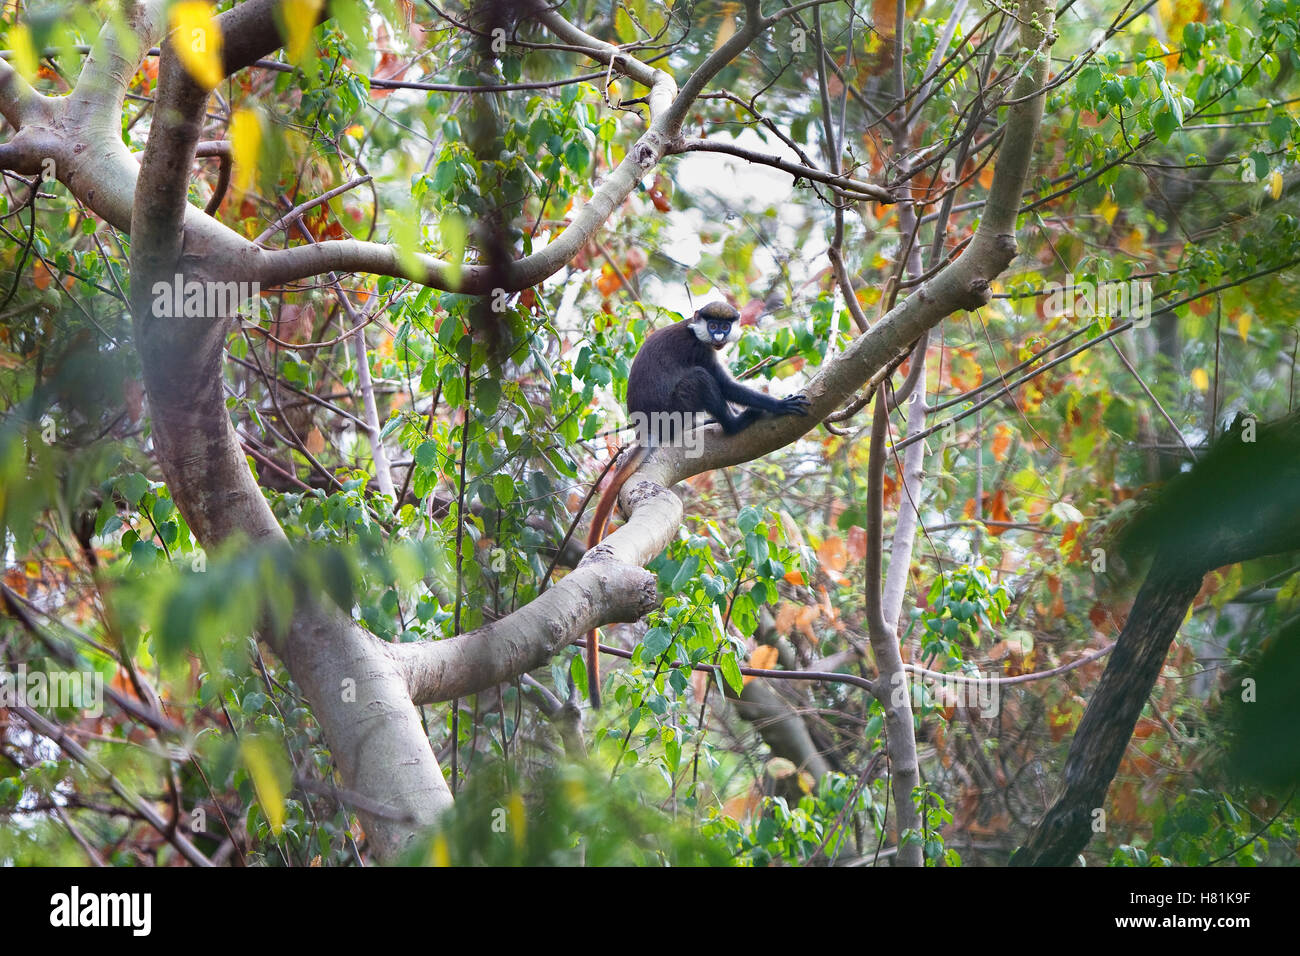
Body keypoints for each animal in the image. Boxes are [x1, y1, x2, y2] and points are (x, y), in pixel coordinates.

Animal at [581, 301, 811, 708]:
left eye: (724, 325)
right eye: (714, 324)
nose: (719, 334)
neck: (697, 332)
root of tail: (648, 427)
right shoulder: (700, 350)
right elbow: (722, 383)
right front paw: (777, 404)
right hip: (679, 405)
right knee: (701, 381)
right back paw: (736, 424)